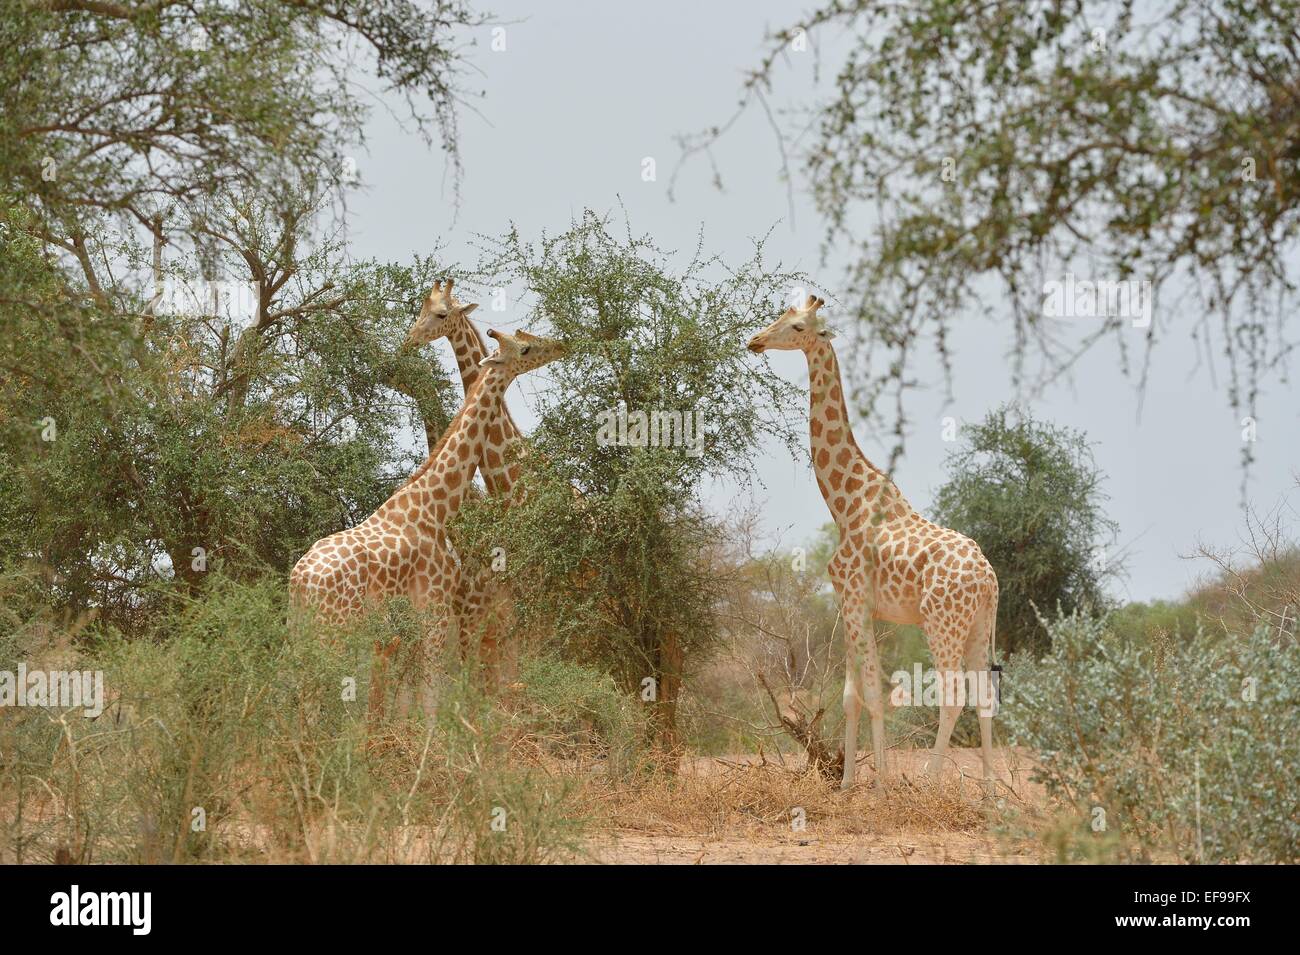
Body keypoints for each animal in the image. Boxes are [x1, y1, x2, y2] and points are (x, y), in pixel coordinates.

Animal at [290, 316, 568, 714]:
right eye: (526, 348)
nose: (562, 345)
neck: (434, 507)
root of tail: (300, 578)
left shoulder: (411, 624)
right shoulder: (436, 611)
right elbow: (432, 696)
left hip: (299, 626)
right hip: (332, 626)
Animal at [748, 296, 999, 790]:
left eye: (798, 326)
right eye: (779, 315)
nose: (756, 340)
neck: (845, 503)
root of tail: (987, 577)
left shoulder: (855, 597)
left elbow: (873, 694)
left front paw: (880, 785)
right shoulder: (853, 605)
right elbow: (852, 696)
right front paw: (848, 784)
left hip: (942, 623)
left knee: (953, 696)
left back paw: (930, 783)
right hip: (981, 623)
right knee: (984, 697)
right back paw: (989, 794)